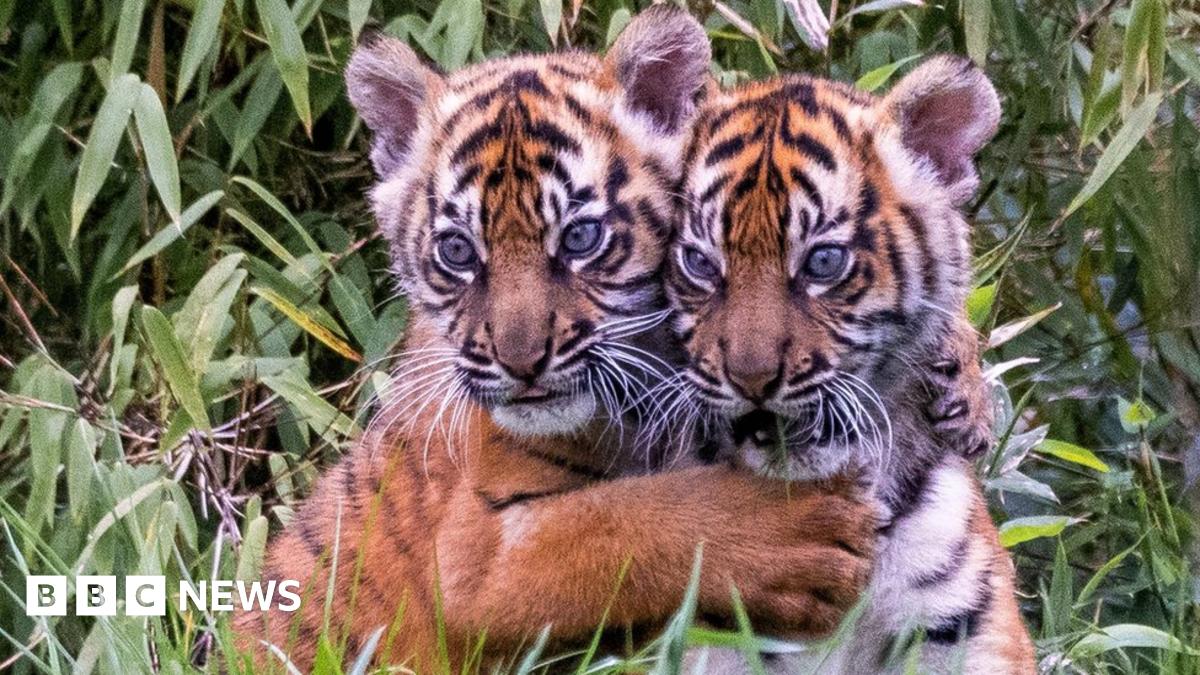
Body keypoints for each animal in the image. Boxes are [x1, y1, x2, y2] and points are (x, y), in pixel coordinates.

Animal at [232, 8, 881, 672]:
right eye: (457, 250)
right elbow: (615, 525)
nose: (521, 362)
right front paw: (804, 530)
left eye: (579, 238)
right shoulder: (473, 558)